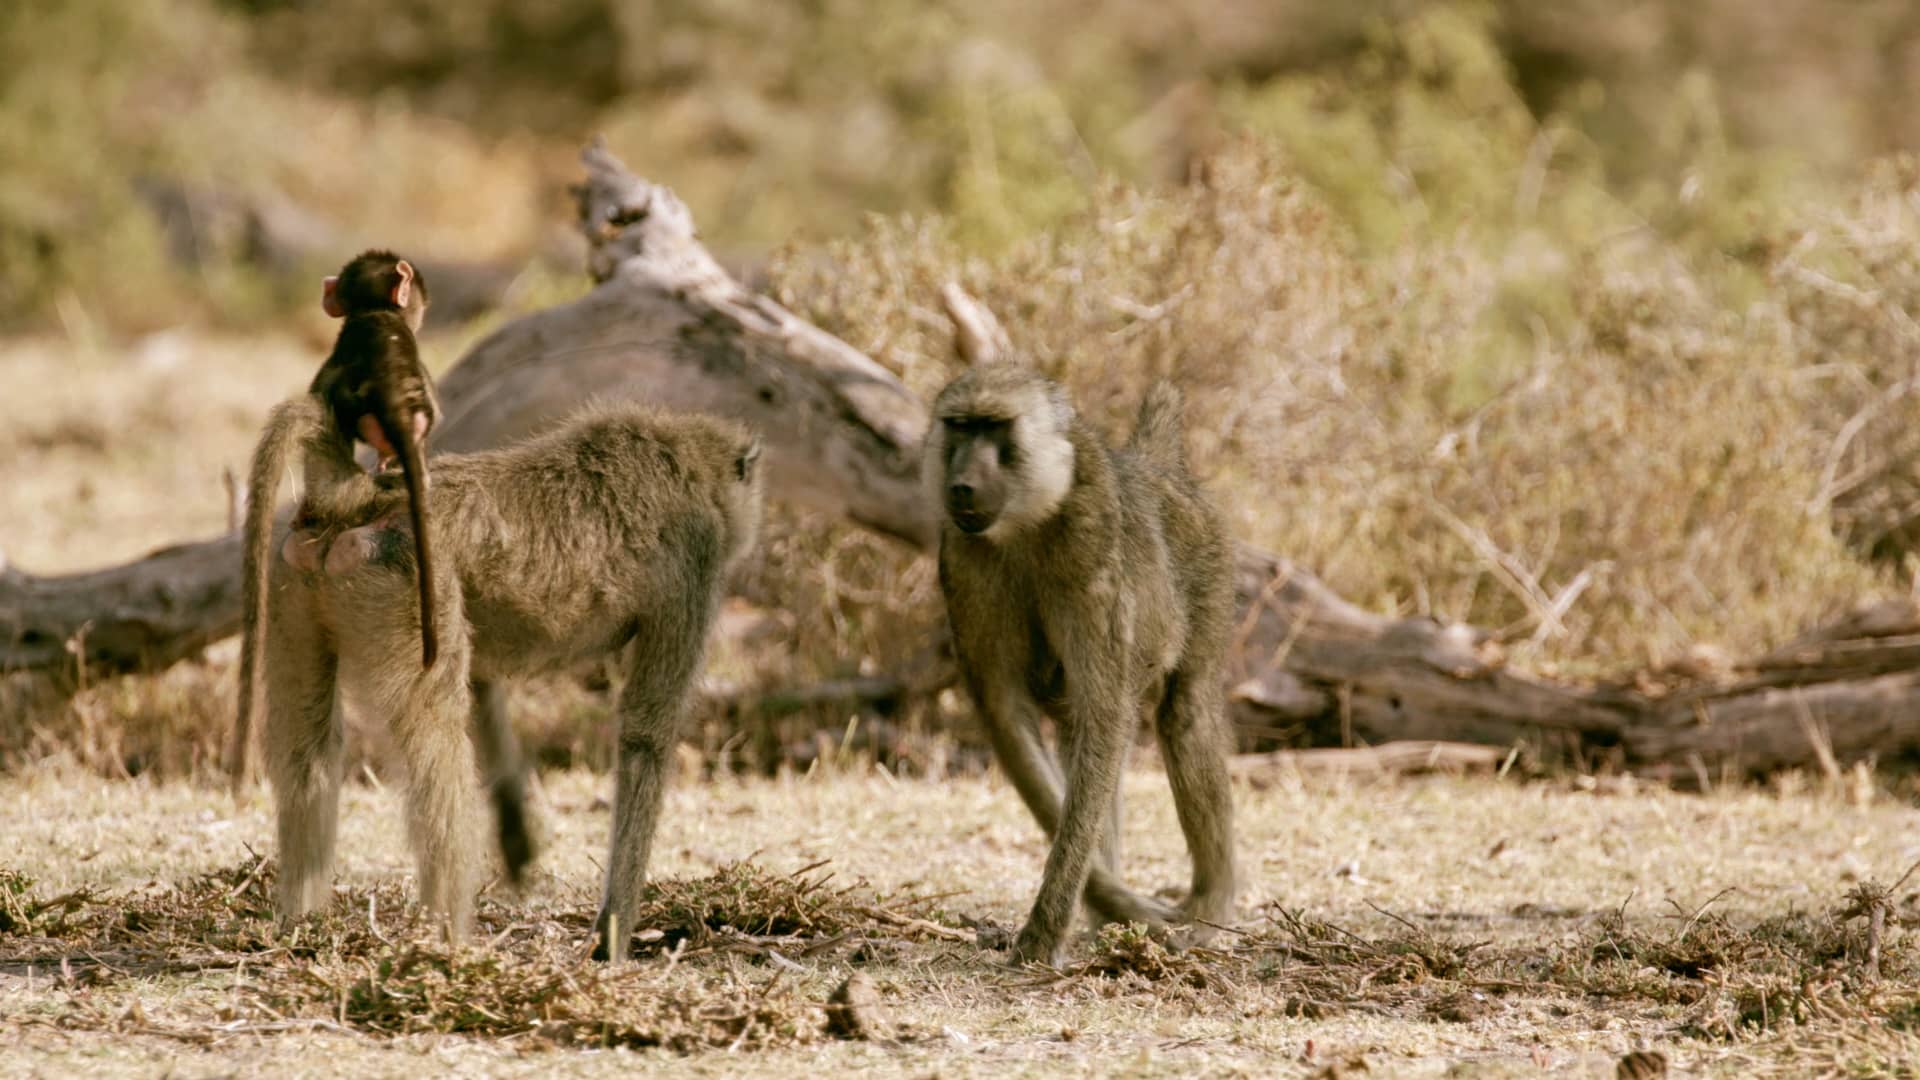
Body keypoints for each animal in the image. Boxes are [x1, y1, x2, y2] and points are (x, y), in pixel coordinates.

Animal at [255, 399, 763, 954]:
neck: (682, 461)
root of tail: (359, 495)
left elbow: (482, 682)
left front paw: (519, 836)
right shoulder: (697, 561)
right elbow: (645, 736)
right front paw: (612, 935)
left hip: (299, 580)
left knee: (311, 757)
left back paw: (302, 925)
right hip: (405, 579)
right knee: (439, 757)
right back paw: (448, 940)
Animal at [925, 363, 1238, 966]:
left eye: (993, 427)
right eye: (960, 426)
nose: (961, 485)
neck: (1027, 521)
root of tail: (1158, 467)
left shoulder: (1090, 550)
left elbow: (1105, 713)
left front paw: (1047, 930)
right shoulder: (963, 559)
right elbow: (1012, 720)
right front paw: (1114, 909)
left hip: (1210, 574)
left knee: (1183, 717)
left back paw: (1211, 907)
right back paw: (1108, 923)